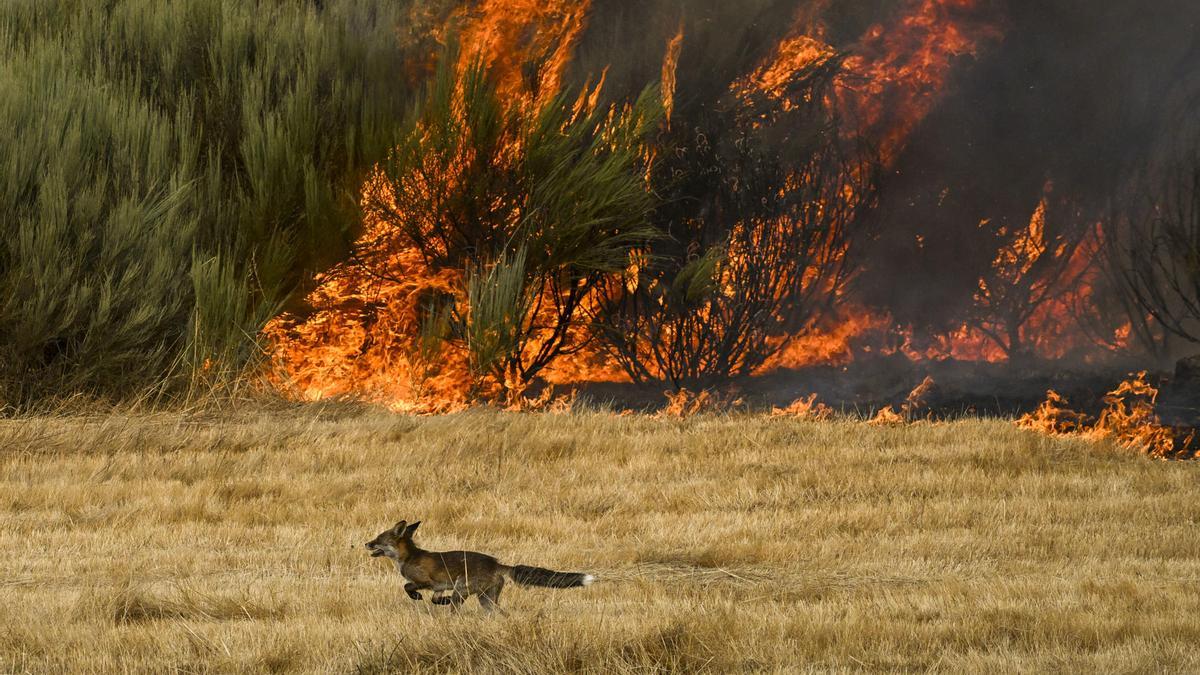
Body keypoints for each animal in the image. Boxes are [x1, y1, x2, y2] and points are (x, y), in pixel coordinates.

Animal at [365, 520, 594, 611]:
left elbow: (407, 586)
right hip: (486, 600)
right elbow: (435, 599)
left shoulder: (425, 581)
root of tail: (497, 563)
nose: (366, 543)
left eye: (378, 539)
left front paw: (416, 597)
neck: (408, 557)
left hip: (462, 590)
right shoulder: (439, 588)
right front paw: (441, 602)